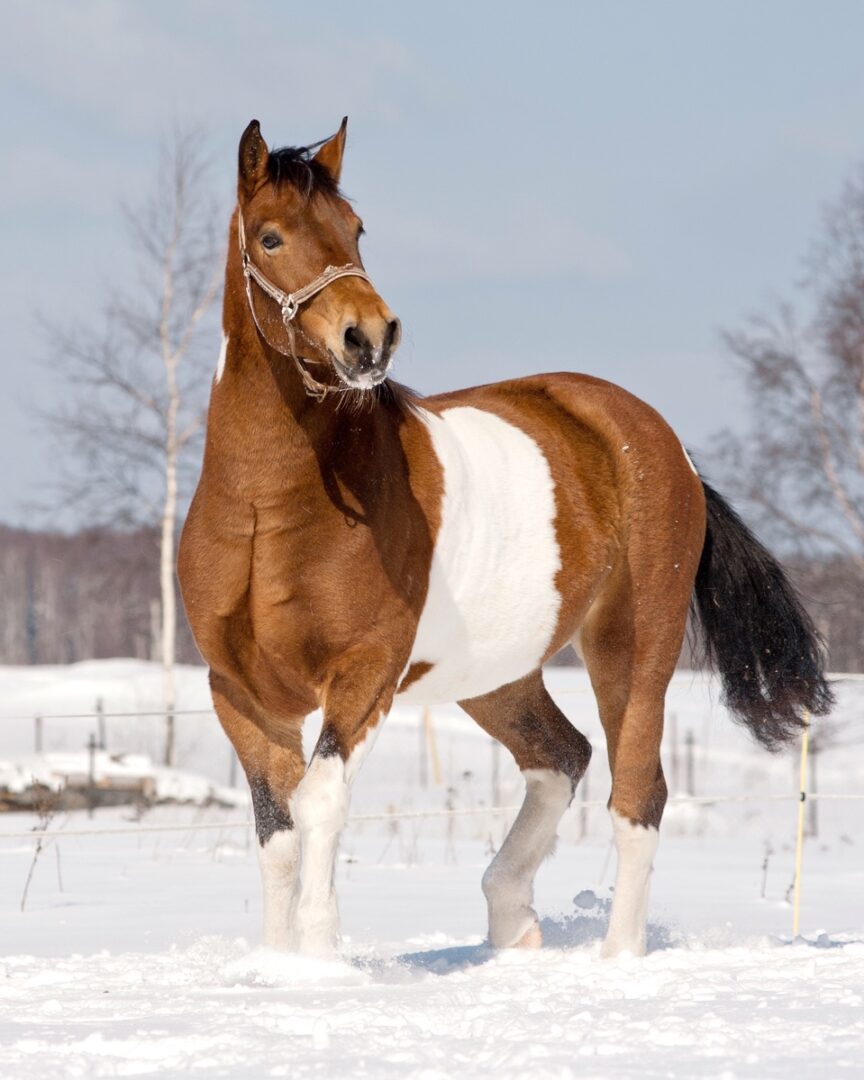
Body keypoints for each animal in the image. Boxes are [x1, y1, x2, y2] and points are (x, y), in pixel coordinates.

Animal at [178, 118, 832, 958]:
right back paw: (512, 920)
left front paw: (322, 958)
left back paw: (616, 957)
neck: (274, 512)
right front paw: (282, 964)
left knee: (636, 793)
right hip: (498, 674)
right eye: (270, 236)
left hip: (633, 647)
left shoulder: (364, 674)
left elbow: (319, 802)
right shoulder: (240, 694)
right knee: (562, 756)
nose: (370, 338)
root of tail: (663, 442)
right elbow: (276, 832)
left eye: (355, 229)